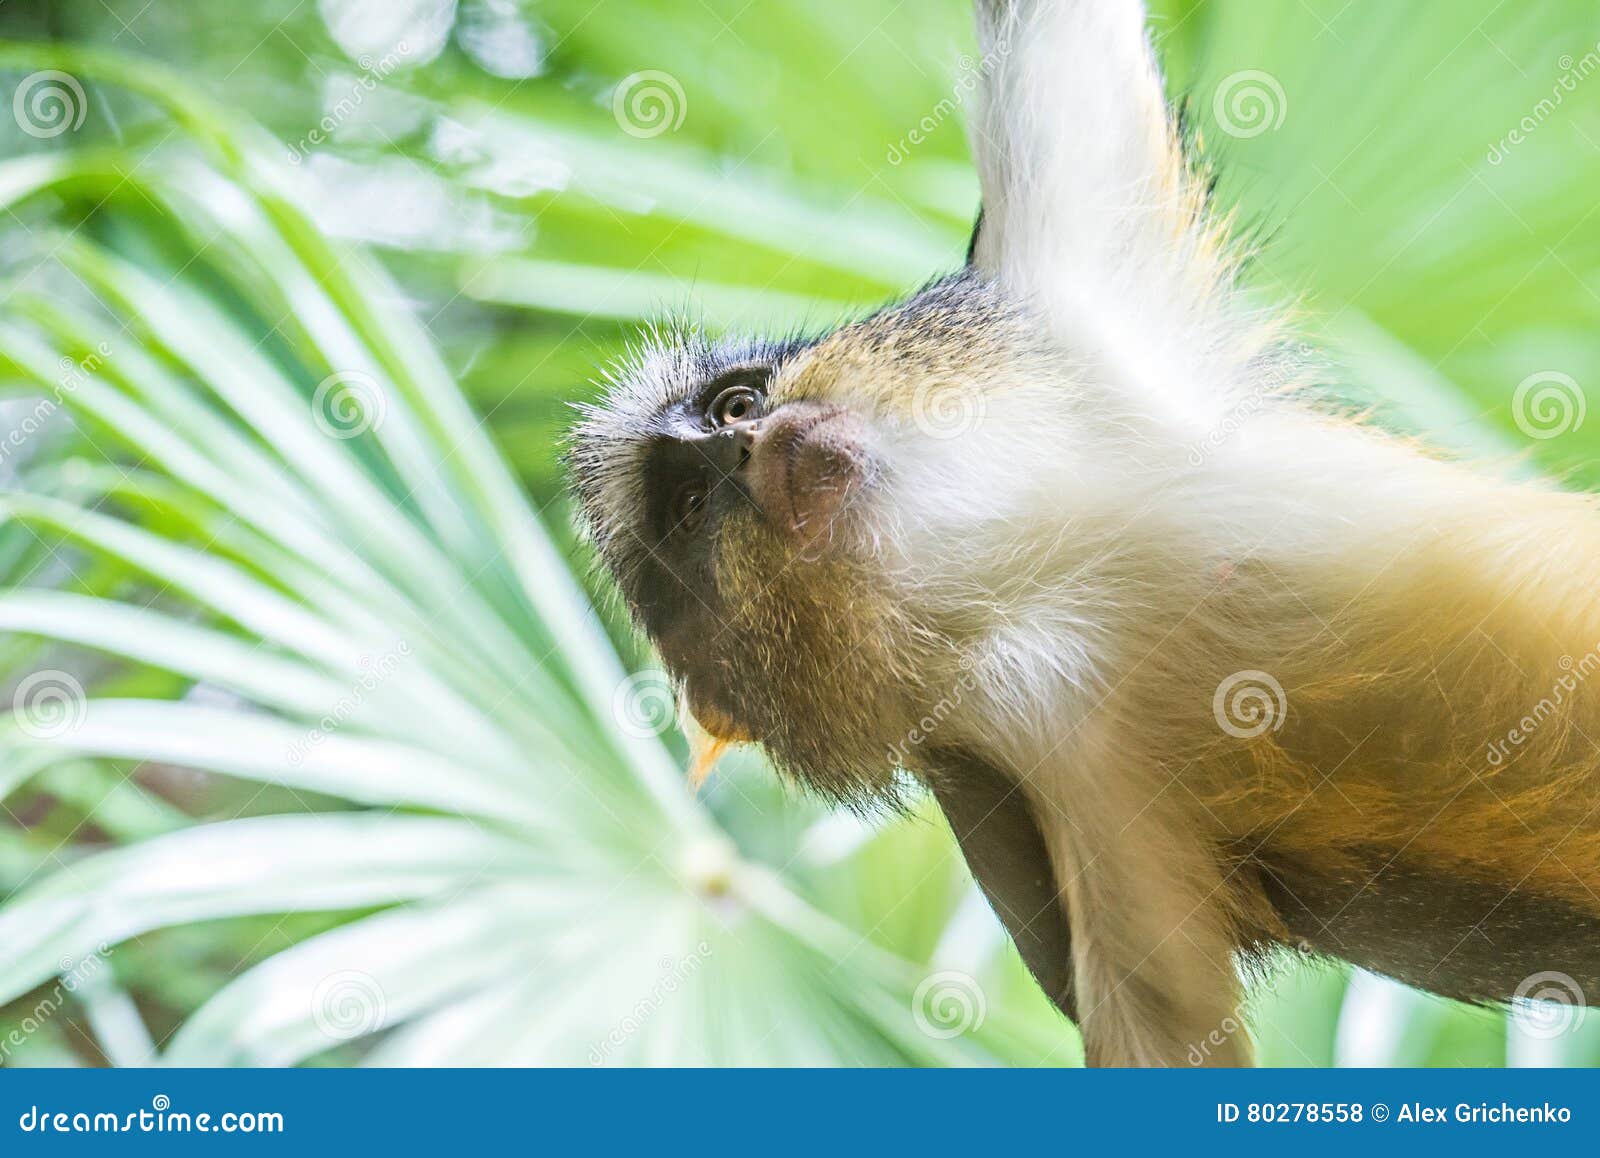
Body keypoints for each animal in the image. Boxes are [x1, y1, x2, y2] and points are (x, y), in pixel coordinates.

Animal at [568, 0, 1600, 1066]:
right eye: (690, 508)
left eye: (734, 405)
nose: (750, 448)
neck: (1025, 566)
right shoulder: (1022, 765)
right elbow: (1166, 1029)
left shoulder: (1069, 325)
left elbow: (1056, 39)